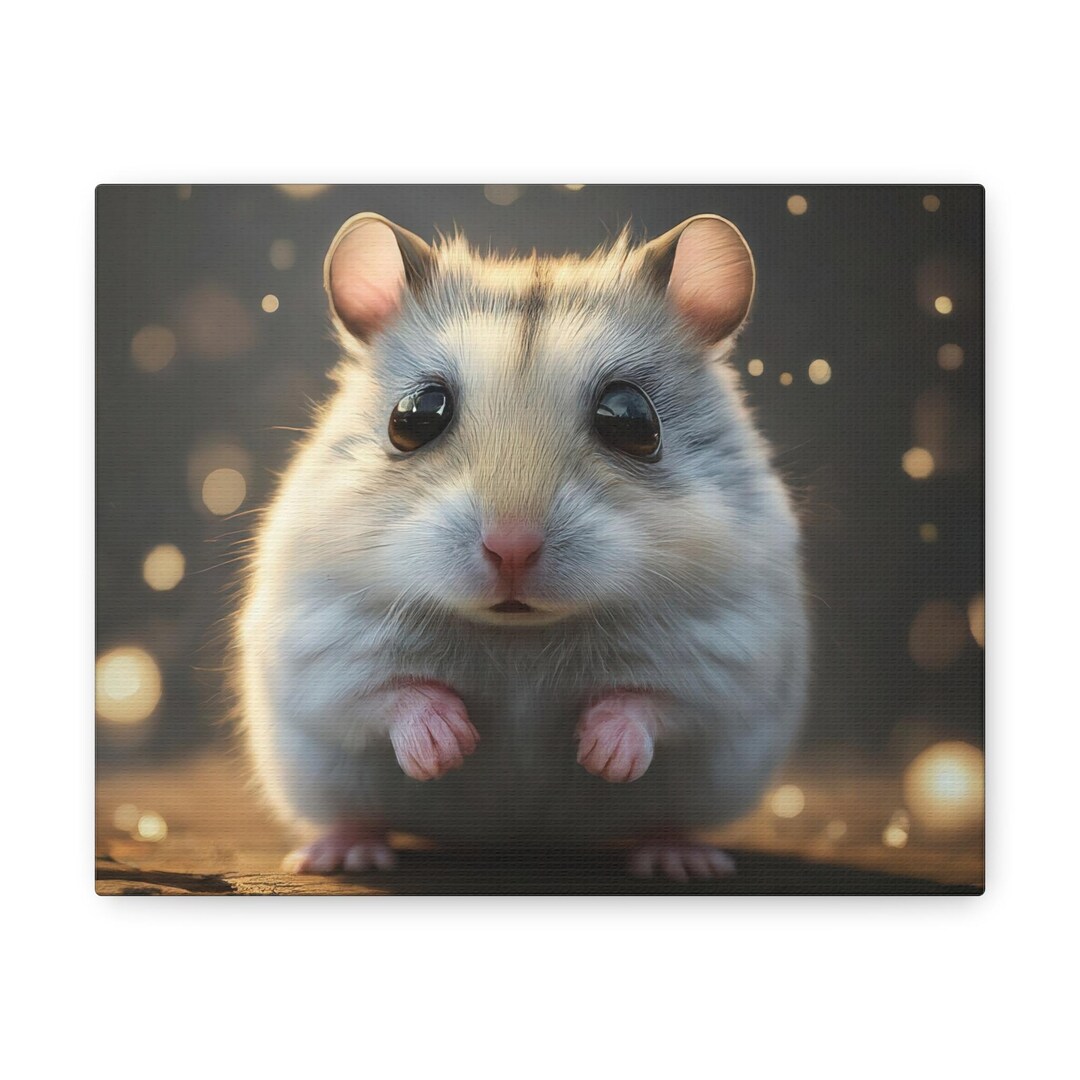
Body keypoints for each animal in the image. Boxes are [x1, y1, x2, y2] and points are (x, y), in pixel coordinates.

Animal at [238, 211, 810, 880]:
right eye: (414, 416)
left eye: (632, 418)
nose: (511, 548)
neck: (520, 636)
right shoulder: (324, 644)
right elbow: (390, 694)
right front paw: (448, 746)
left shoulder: (727, 658)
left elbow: (651, 704)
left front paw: (601, 754)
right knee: (358, 810)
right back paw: (340, 855)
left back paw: (681, 860)